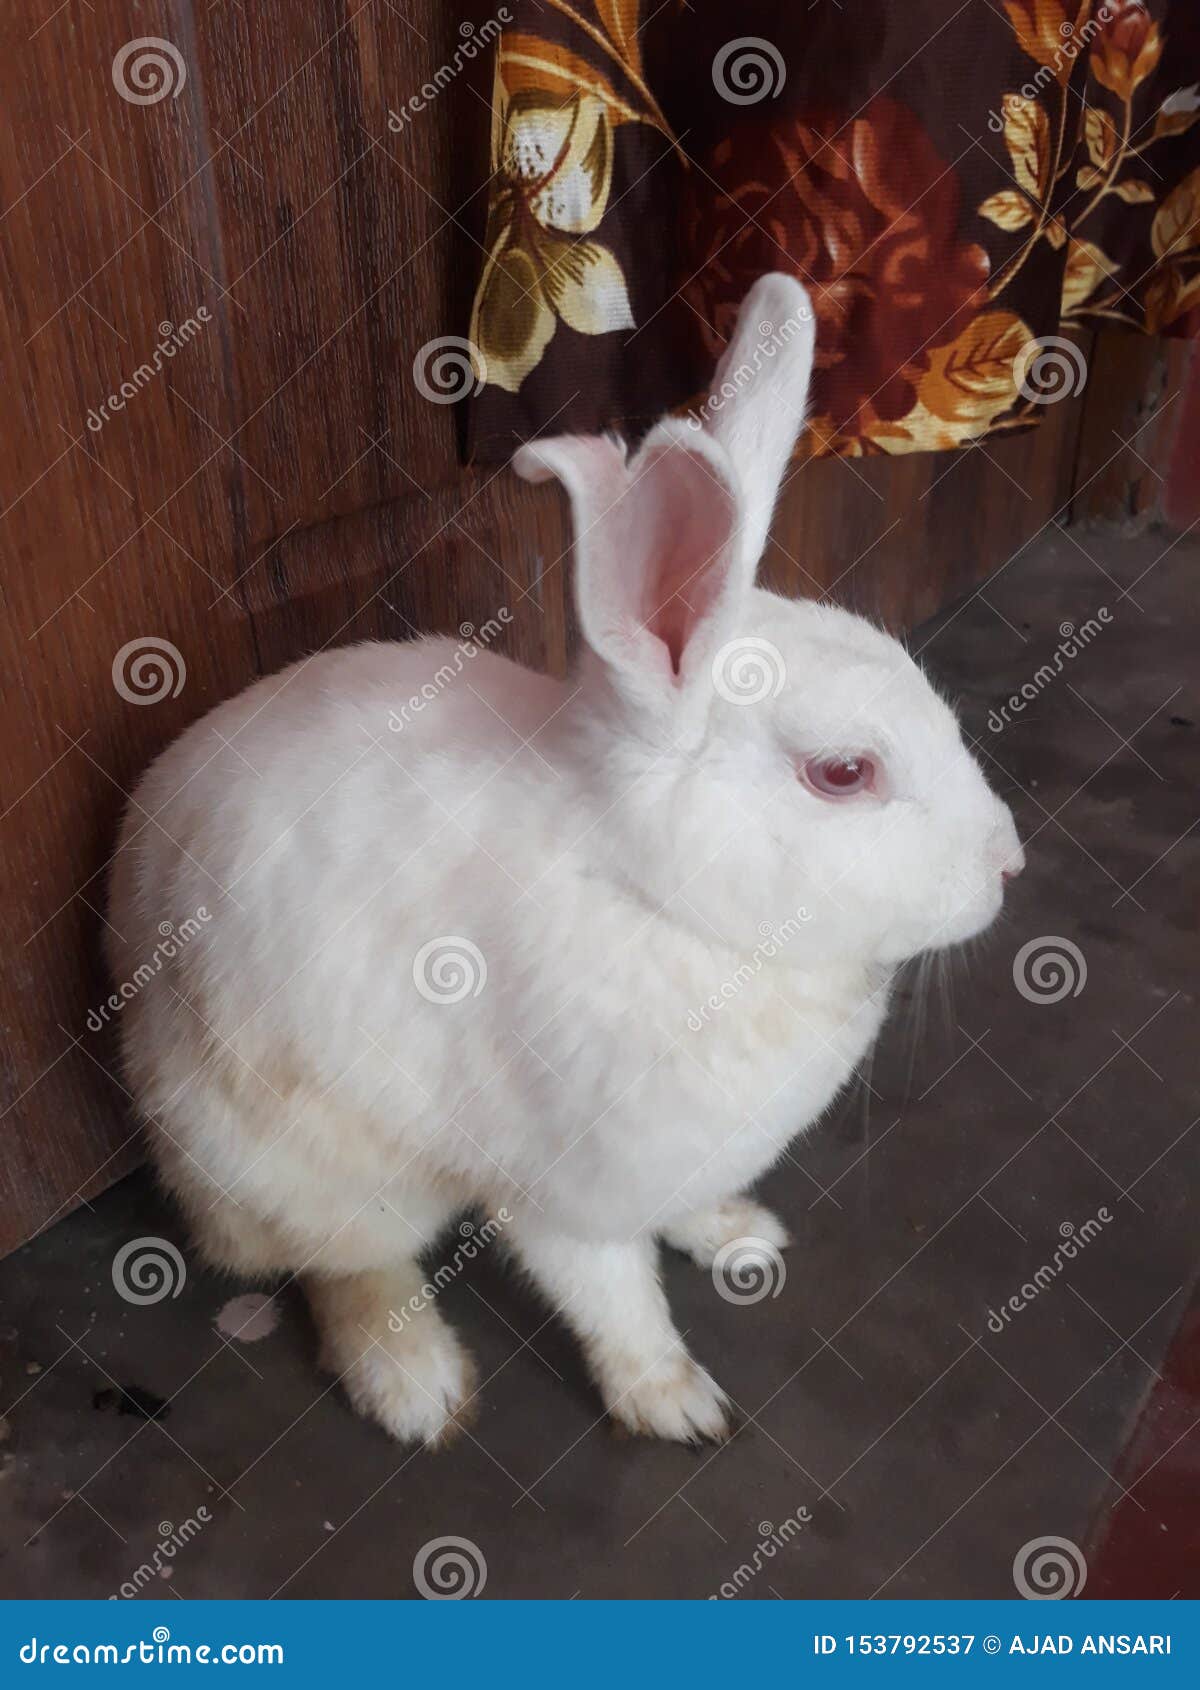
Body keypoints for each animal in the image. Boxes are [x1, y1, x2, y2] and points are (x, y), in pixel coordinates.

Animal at [107, 272, 1024, 1449]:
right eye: (843, 772)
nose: (1007, 864)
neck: (657, 901)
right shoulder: (561, 1189)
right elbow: (610, 1293)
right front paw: (674, 1401)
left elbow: (678, 1216)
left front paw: (735, 1233)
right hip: (307, 1165)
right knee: (343, 1267)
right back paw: (416, 1385)